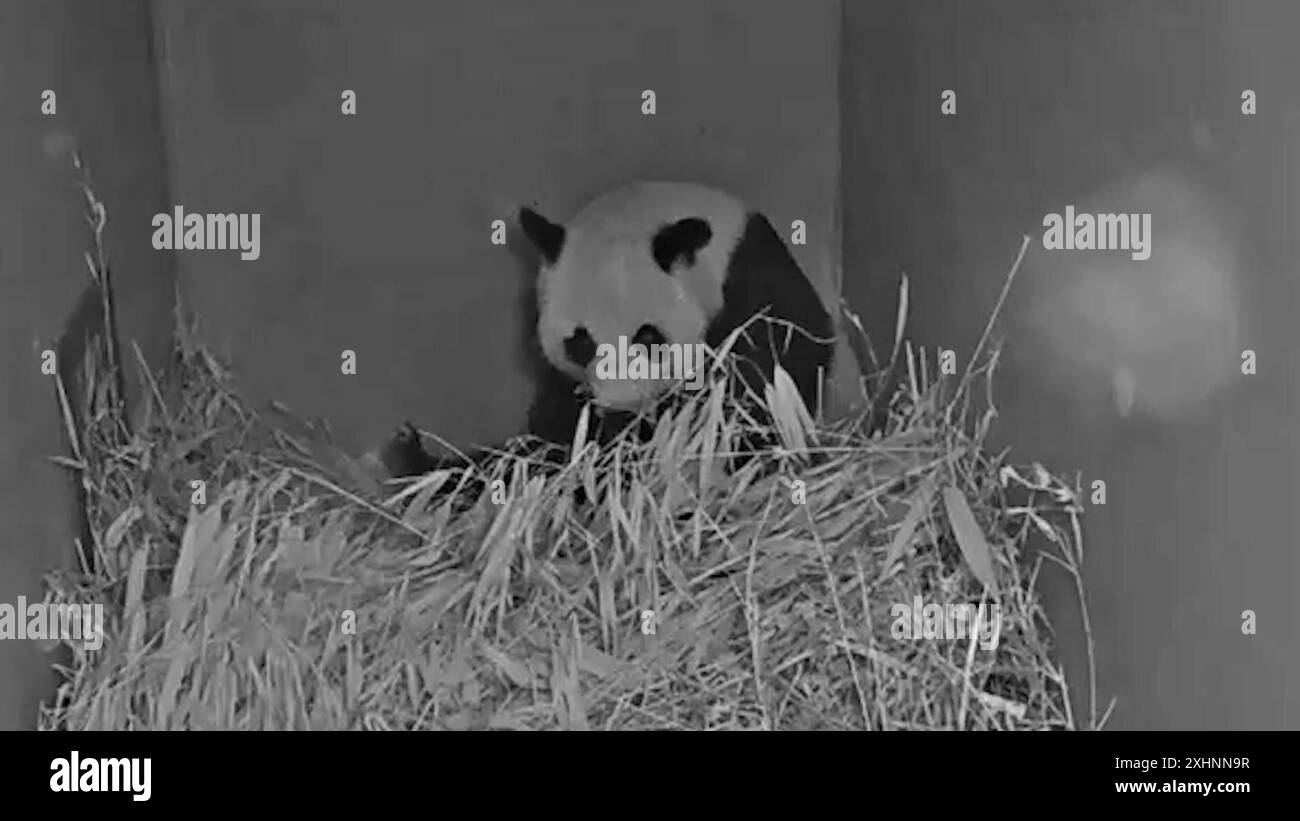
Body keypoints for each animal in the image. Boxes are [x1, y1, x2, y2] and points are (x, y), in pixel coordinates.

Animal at [383, 181, 837, 484]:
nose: (622, 406)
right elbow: (556, 427)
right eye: (581, 341)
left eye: (648, 337)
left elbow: (760, 383)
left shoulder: (749, 281)